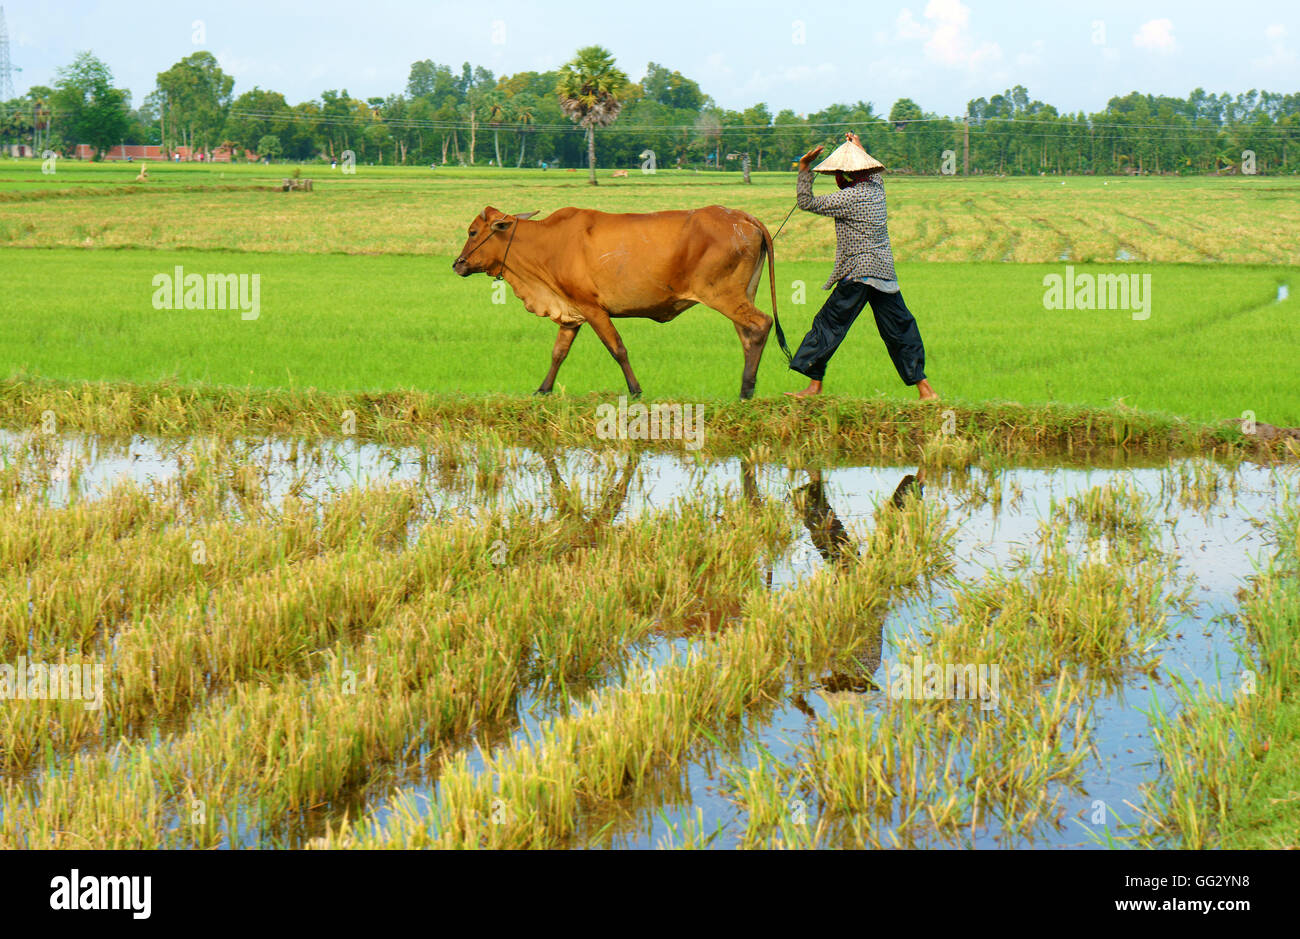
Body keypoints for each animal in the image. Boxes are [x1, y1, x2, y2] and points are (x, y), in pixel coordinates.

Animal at [451, 205, 787, 399]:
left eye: (472, 232)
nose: (457, 264)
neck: (546, 243)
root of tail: (745, 218)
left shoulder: (593, 308)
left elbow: (617, 348)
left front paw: (635, 390)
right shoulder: (572, 313)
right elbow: (558, 353)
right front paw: (542, 389)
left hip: (723, 295)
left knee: (761, 324)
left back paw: (746, 389)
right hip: (742, 293)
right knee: (748, 335)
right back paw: (747, 386)